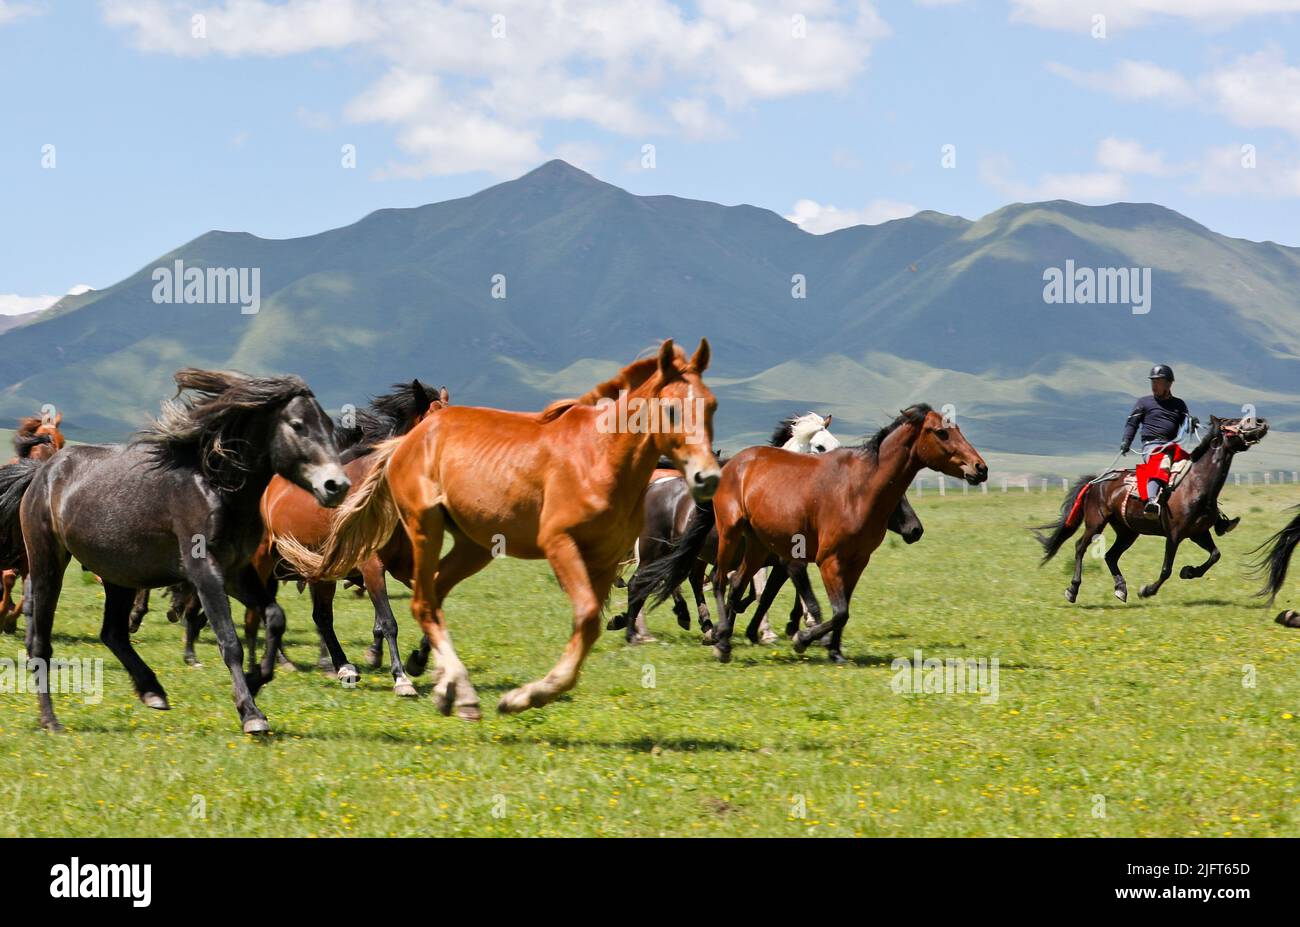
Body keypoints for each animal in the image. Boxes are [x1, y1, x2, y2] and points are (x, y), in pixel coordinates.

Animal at [250, 380, 447, 696]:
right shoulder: (371, 566)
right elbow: (388, 621)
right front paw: (401, 678)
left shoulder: (407, 566)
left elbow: (431, 608)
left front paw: (417, 661)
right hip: (264, 564)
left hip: (320, 571)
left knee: (321, 617)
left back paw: (343, 668)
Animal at [278, 339, 720, 719]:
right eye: (673, 411)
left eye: (712, 407)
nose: (707, 477)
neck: (599, 457)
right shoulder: (557, 545)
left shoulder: (603, 558)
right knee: (372, 608)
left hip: (470, 546)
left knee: (416, 597)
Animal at [640, 404, 987, 664]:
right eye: (942, 432)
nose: (980, 468)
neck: (860, 488)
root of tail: (732, 465)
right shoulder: (823, 560)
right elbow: (831, 608)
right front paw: (803, 639)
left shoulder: (855, 561)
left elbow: (840, 610)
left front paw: (833, 650)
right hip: (728, 534)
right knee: (716, 581)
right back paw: (713, 640)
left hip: (755, 545)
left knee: (735, 583)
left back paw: (720, 636)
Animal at [1035, 415, 1268, 603]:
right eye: (1232, 422)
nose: (1261, 422)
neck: (1195, 485)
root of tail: (1096, 481)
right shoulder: (1174, 534)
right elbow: (1166, 569)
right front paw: (1147, 590)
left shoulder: (1198, 533)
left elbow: (1215, 555)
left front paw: (1189, 572)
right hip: (1096, 523)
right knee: (1079, 548)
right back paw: (1073, 590)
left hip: (1127, 531)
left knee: (1110, 555)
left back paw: (1121, 589)